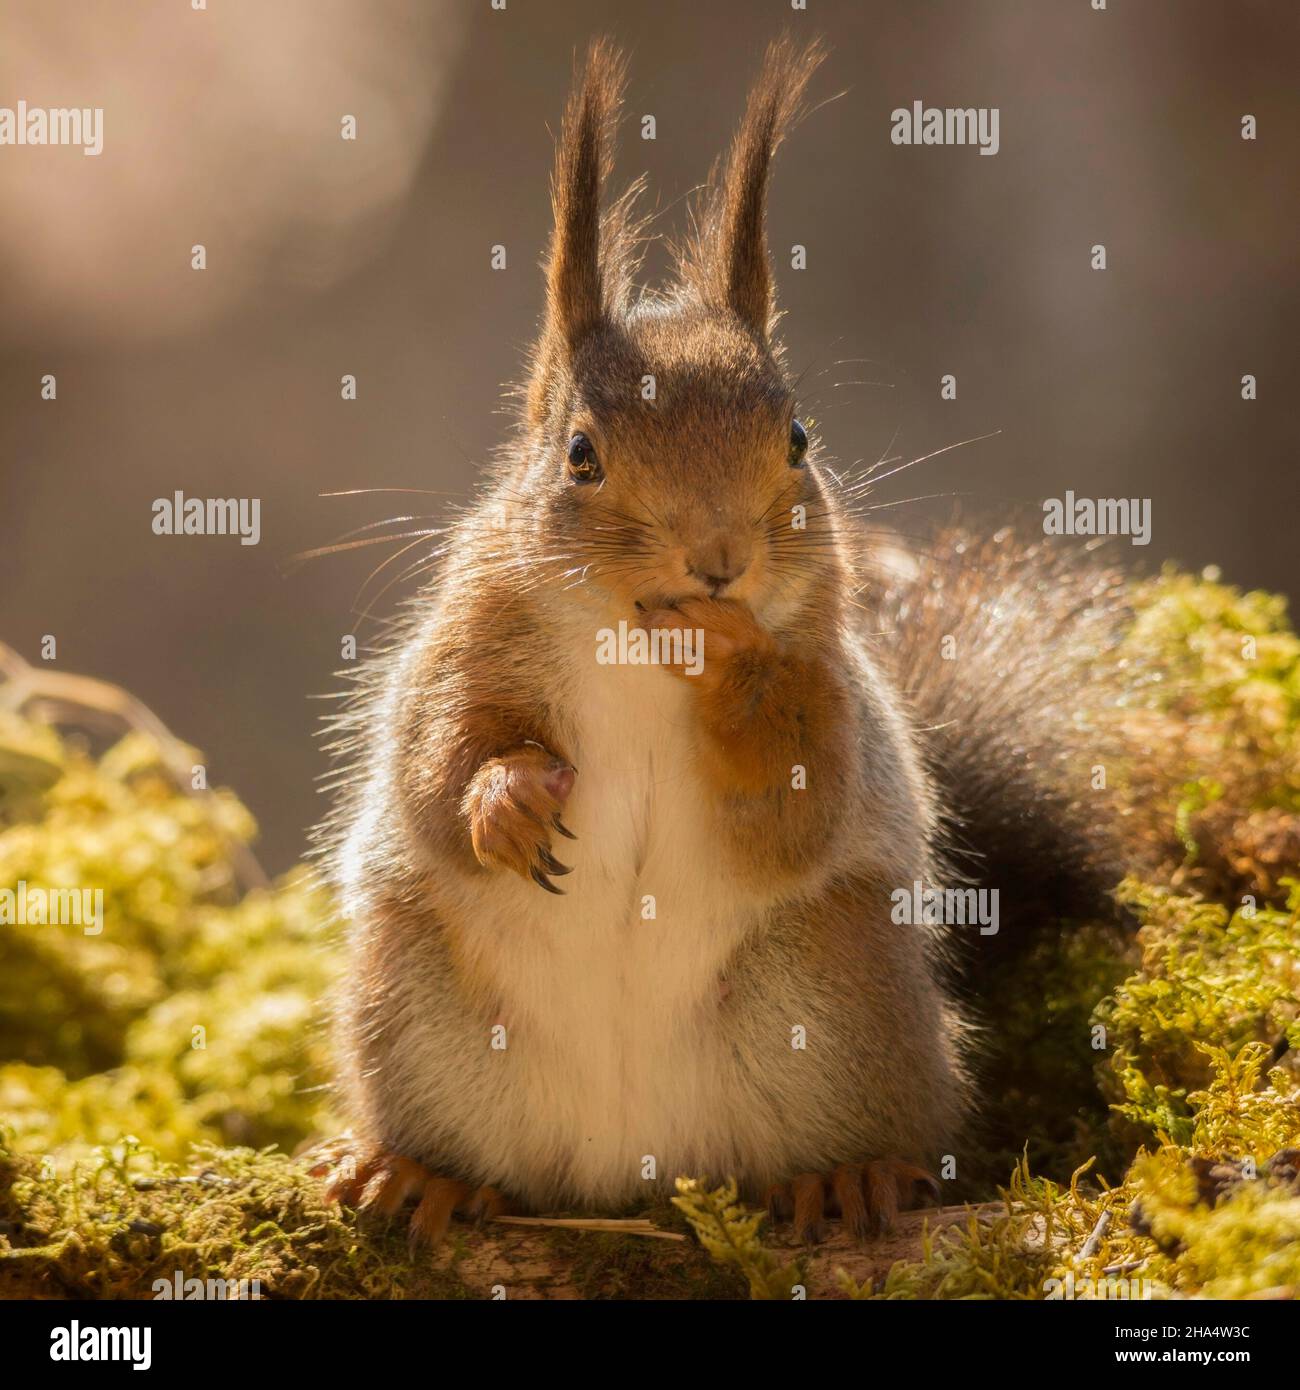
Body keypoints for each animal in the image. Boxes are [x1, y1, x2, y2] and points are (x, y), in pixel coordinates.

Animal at [316, 37, 1139, 1245]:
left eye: (797, 438)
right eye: (579, 453)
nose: (717, 560)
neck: (635, 651)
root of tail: (625, 1169)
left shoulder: (828, 683)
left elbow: (796, 813)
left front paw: (732, 658)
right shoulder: (461, 646)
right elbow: (437, 768)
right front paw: (506, 801)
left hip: (834, 997)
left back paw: (848, 1177)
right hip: (414, 1004)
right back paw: (415, 1173)